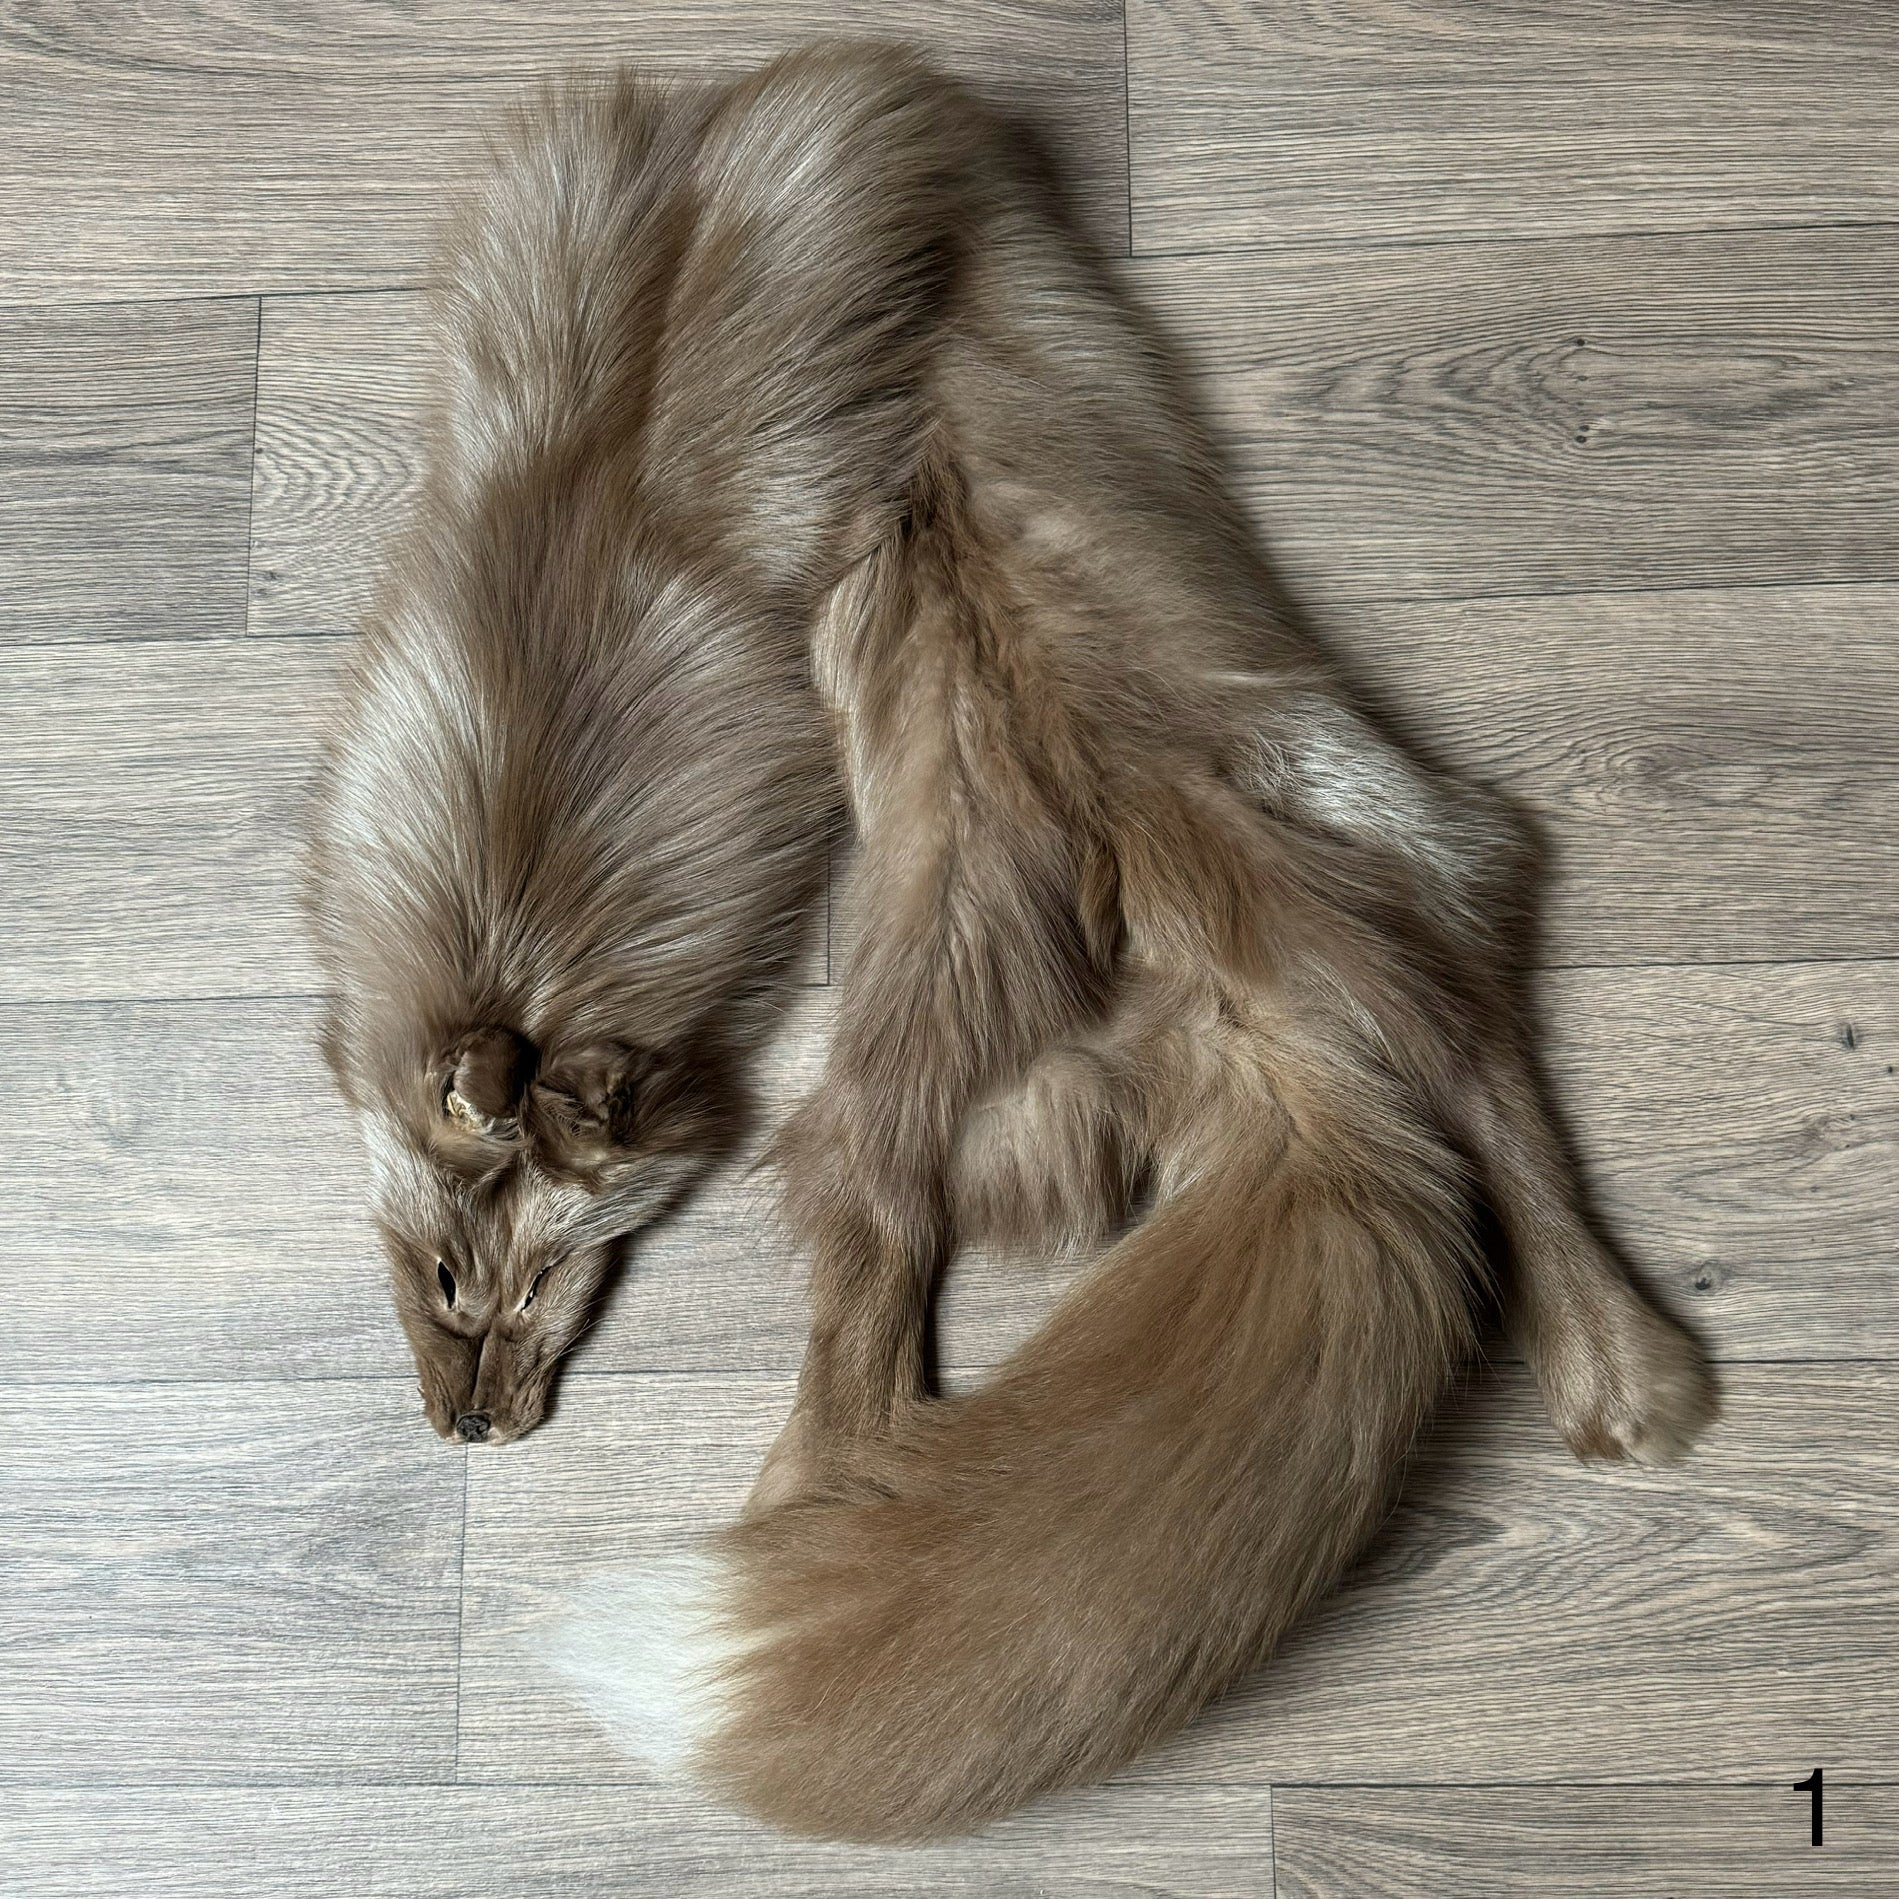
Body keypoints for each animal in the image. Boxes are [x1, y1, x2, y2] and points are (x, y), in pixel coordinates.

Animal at [534, 49, 1719, 1838]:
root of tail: (1266, 1026)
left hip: (932, 1030)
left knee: (872, 1279)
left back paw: (801, 1517)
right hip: (1365, 875)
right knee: (1491, 1086)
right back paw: (1620, 1374)